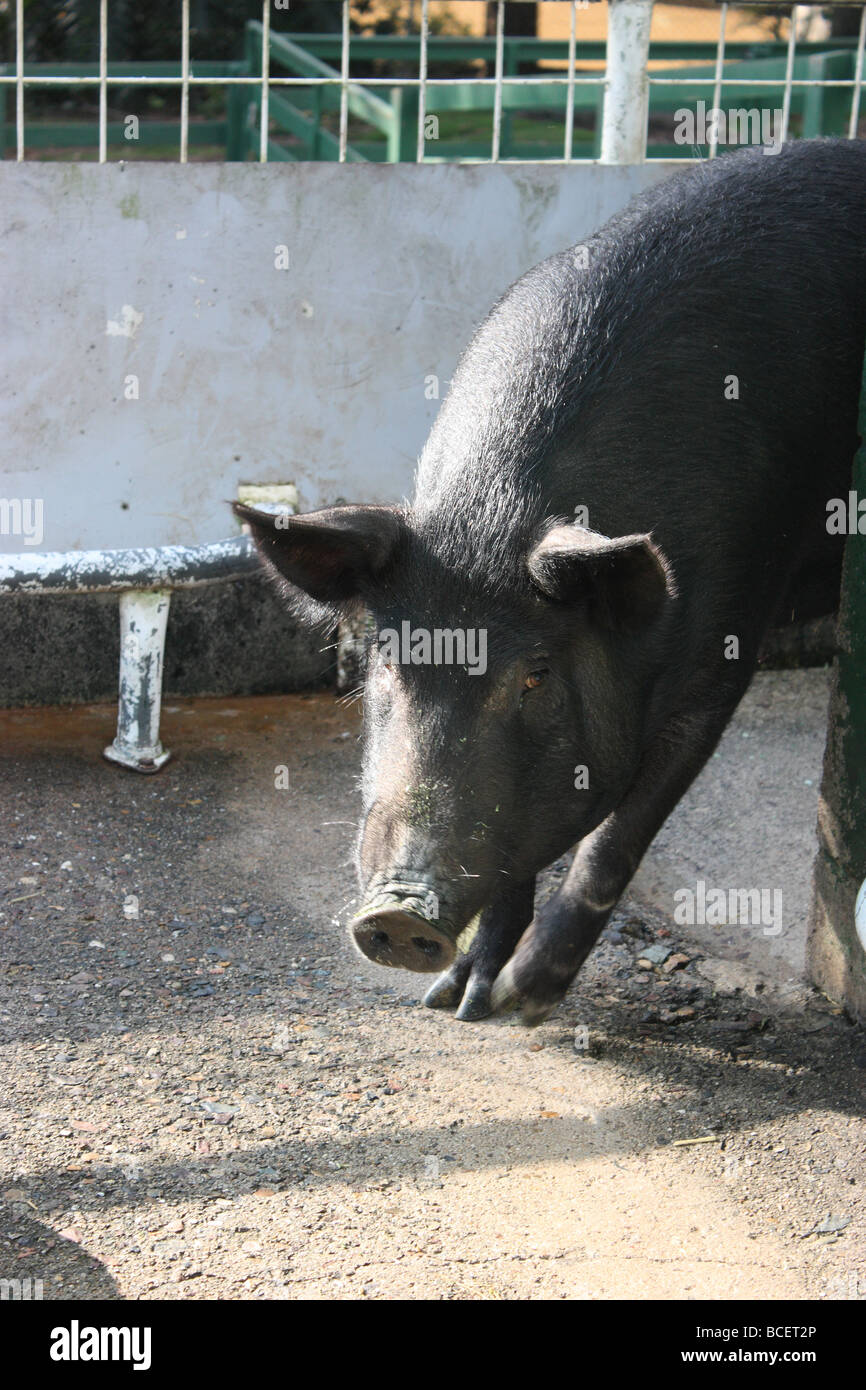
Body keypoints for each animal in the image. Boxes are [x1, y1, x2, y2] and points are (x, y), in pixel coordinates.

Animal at [235, 138, 866, 1024]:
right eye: (386, 665)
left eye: (533, 677)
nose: (398, 912)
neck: (494, 511)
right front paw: (458, 1002)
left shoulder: (731, 632)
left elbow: (618, 835)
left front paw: (523, 1001)